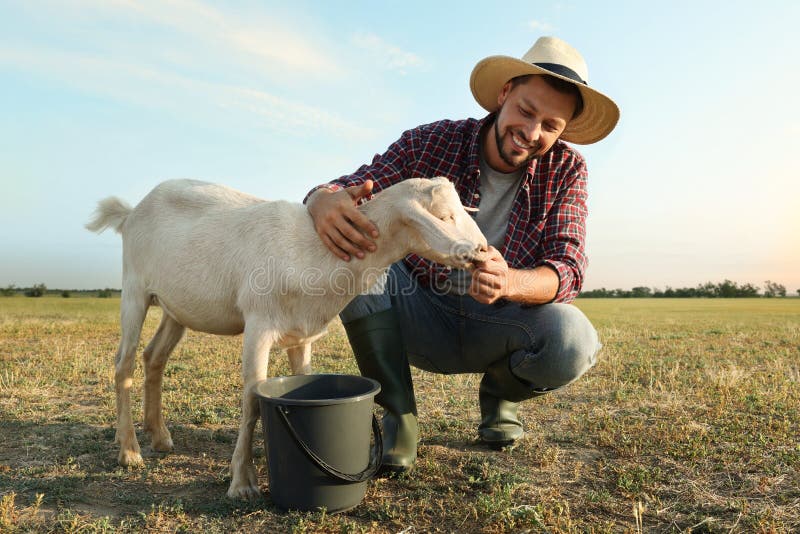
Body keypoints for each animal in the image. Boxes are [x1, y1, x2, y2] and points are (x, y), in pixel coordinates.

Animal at [86, 177, 488, 499]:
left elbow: (302, 381)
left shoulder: (302, 335)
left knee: (153, 357)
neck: (316, 252)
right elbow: (251, 401)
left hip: (176, 307)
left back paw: (159, 436)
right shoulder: (259, 325)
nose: (483, 253)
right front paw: (242, 483)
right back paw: (130, 451)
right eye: (444, 216)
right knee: (123, 364)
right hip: (134, 290)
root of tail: (131, 212)